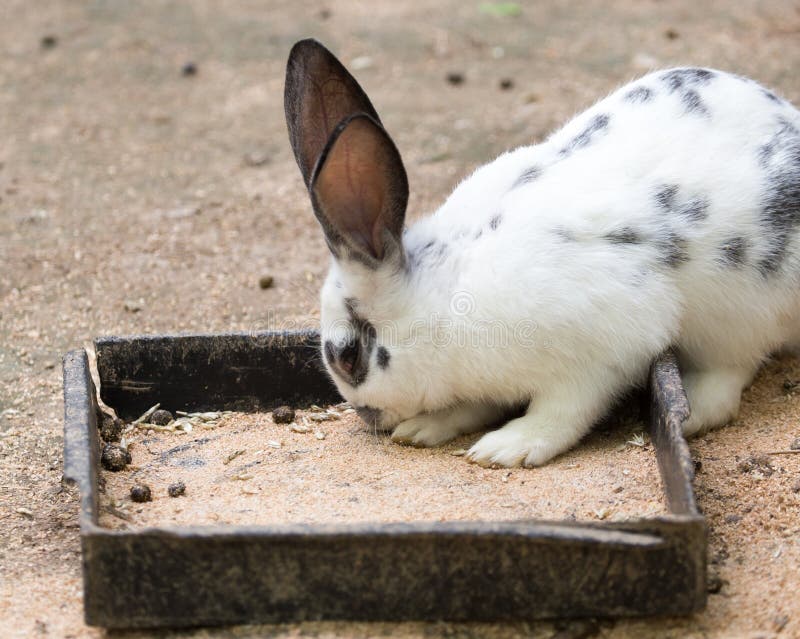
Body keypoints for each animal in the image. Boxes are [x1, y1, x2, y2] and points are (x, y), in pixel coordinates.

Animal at [283, 38, 800, 467]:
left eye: (348, 356)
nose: (368, 417)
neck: (444, 303)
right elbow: (475, 404)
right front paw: (426, 428)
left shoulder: (601, 355)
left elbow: (563, 411)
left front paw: (505, 448)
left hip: (738, 311)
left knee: (730, 374)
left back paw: (691, 412)